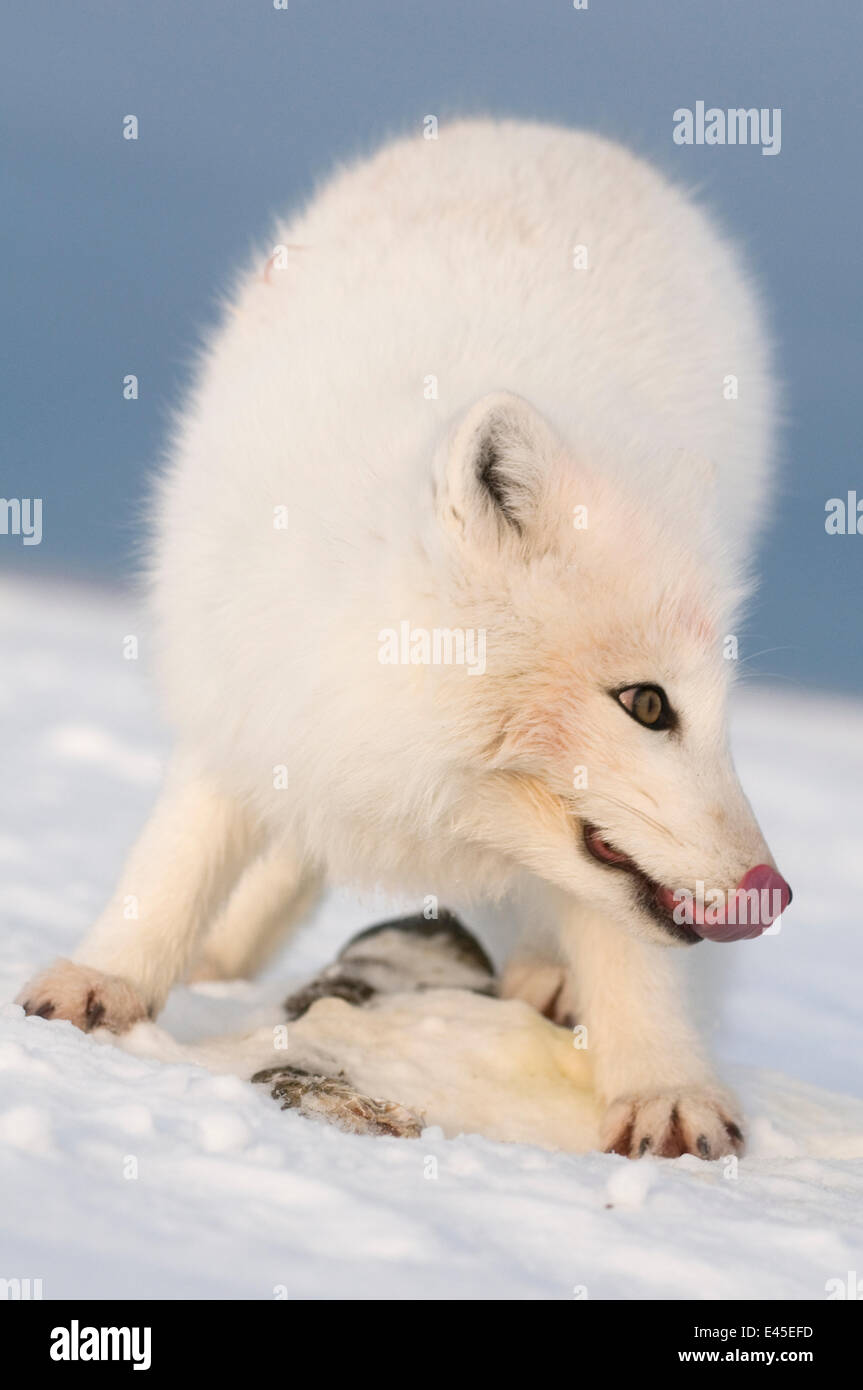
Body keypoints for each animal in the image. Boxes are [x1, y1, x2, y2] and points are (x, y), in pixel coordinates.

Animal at [18, 119, 791, 1159]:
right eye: (645, 704)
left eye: (716, 712)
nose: (770, 892)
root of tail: (537, 127)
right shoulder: (247, 682)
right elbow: (182, 852)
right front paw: (103, 985)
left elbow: (628, 942)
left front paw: (666, 1091)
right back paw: (225, 953)